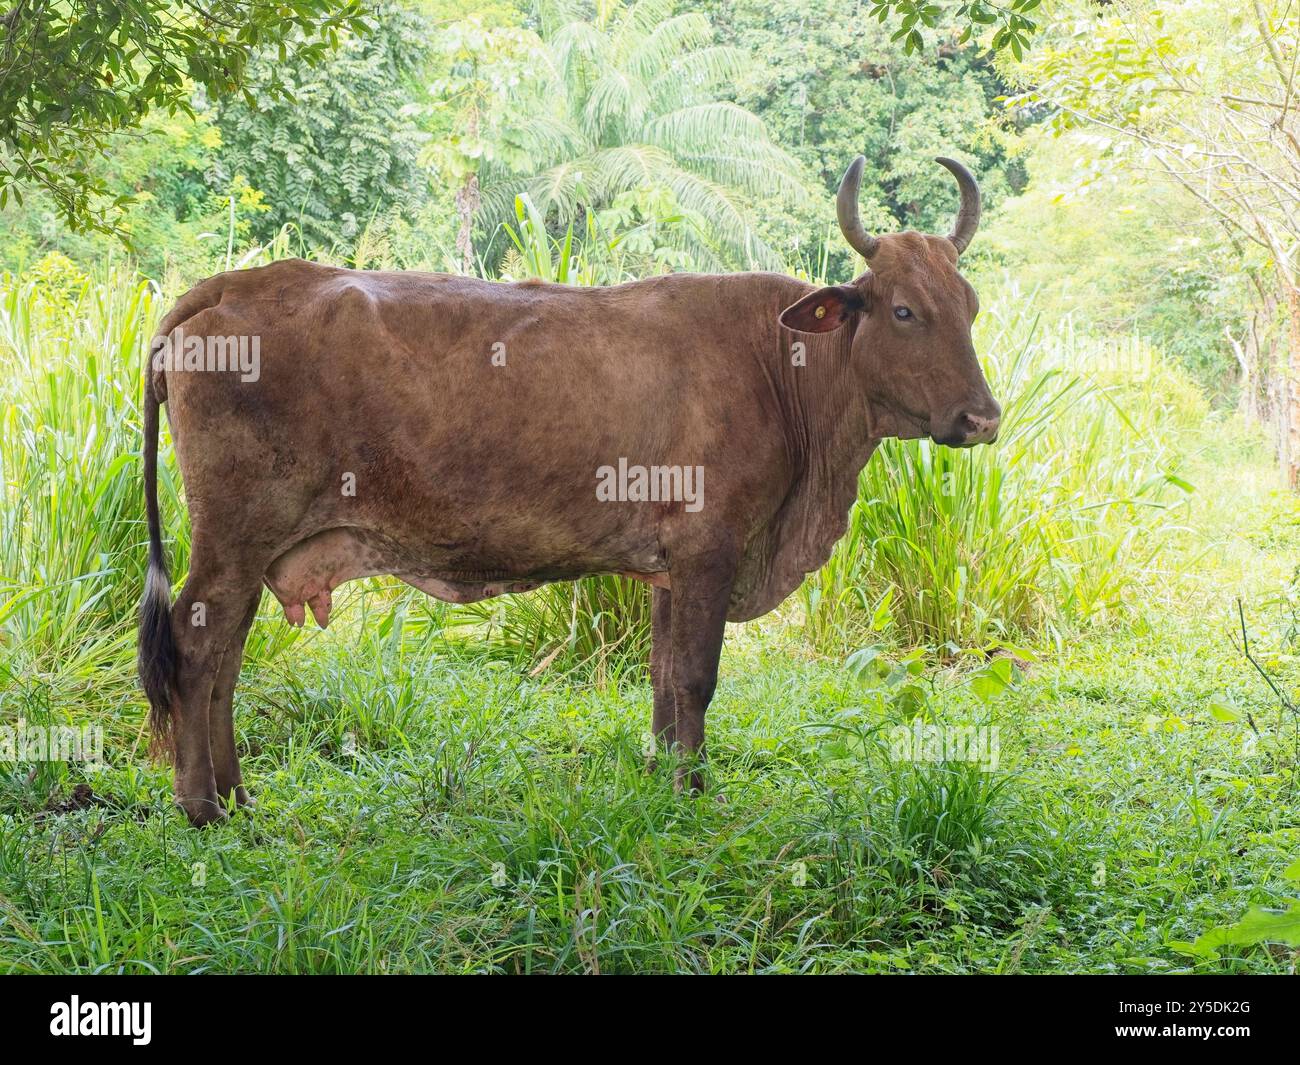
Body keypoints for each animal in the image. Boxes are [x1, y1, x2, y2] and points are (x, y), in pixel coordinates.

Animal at [138, 155, 1000, 825]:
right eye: (903, 309)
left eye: (970, 306)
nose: (983, 416)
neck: (781, 366)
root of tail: (229, 287)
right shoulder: (709, 549)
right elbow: (697, 678)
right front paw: (694, 794)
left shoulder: (669, 568)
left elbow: (664, 680)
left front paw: (662, 779)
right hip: (234, 535)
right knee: (198, 645)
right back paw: (202, 805)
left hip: (256, 547)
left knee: (227, 654)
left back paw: (238, 793)